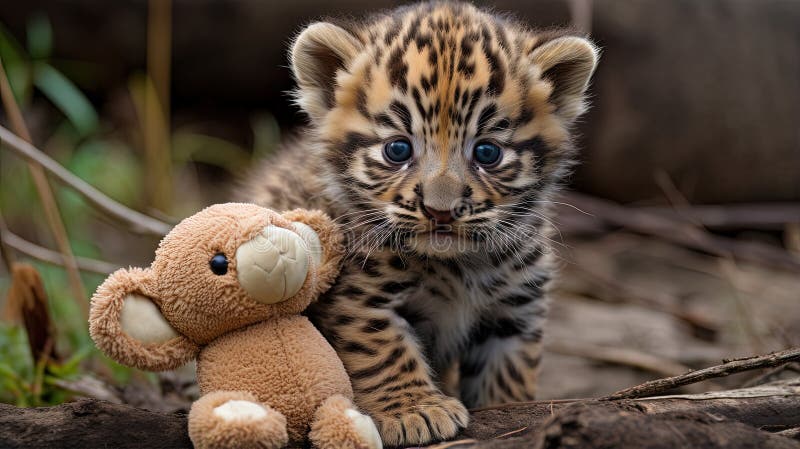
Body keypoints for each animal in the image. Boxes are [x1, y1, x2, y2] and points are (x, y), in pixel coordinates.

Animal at [238, 2, 599, 446]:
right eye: (398, 149)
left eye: (487, 152)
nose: (440, 210)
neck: (460, 266)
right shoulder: (360, 298)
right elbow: (383, 349)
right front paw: (414, 410)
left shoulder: (516, 309)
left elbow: (509, 370)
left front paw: (507, 408)